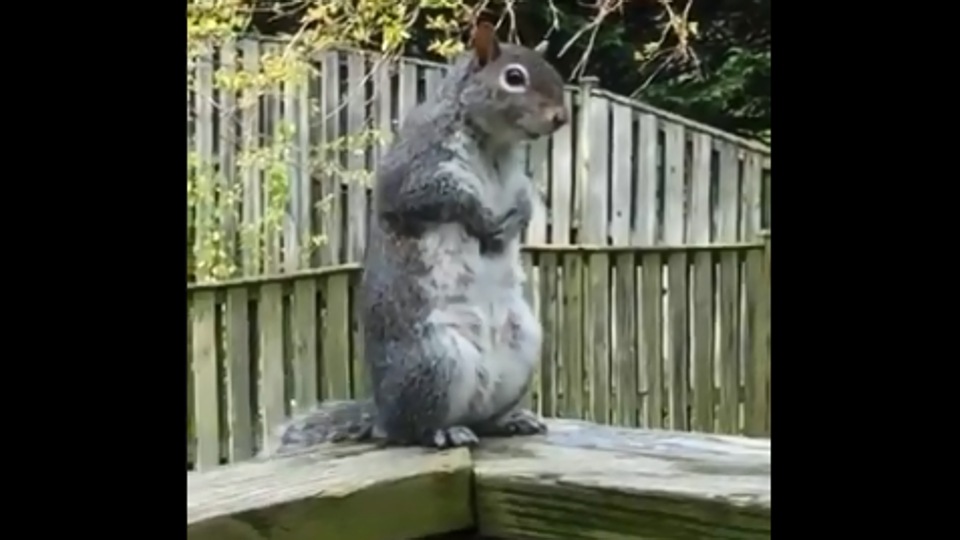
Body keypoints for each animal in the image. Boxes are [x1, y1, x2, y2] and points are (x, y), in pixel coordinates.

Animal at [263, 22, 569, 455]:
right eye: (514, 77)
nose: (561, 117)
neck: (494, 145)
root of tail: (382, 414)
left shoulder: (520, 183)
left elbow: (525, 204)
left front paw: (508, 225)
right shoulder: (415, 170)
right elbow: (442, 199)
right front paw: (481, 219)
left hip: (521, 348)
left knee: (483, 417)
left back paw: (508, 419)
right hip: (434, 363)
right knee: (413, 429)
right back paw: (442, 432)